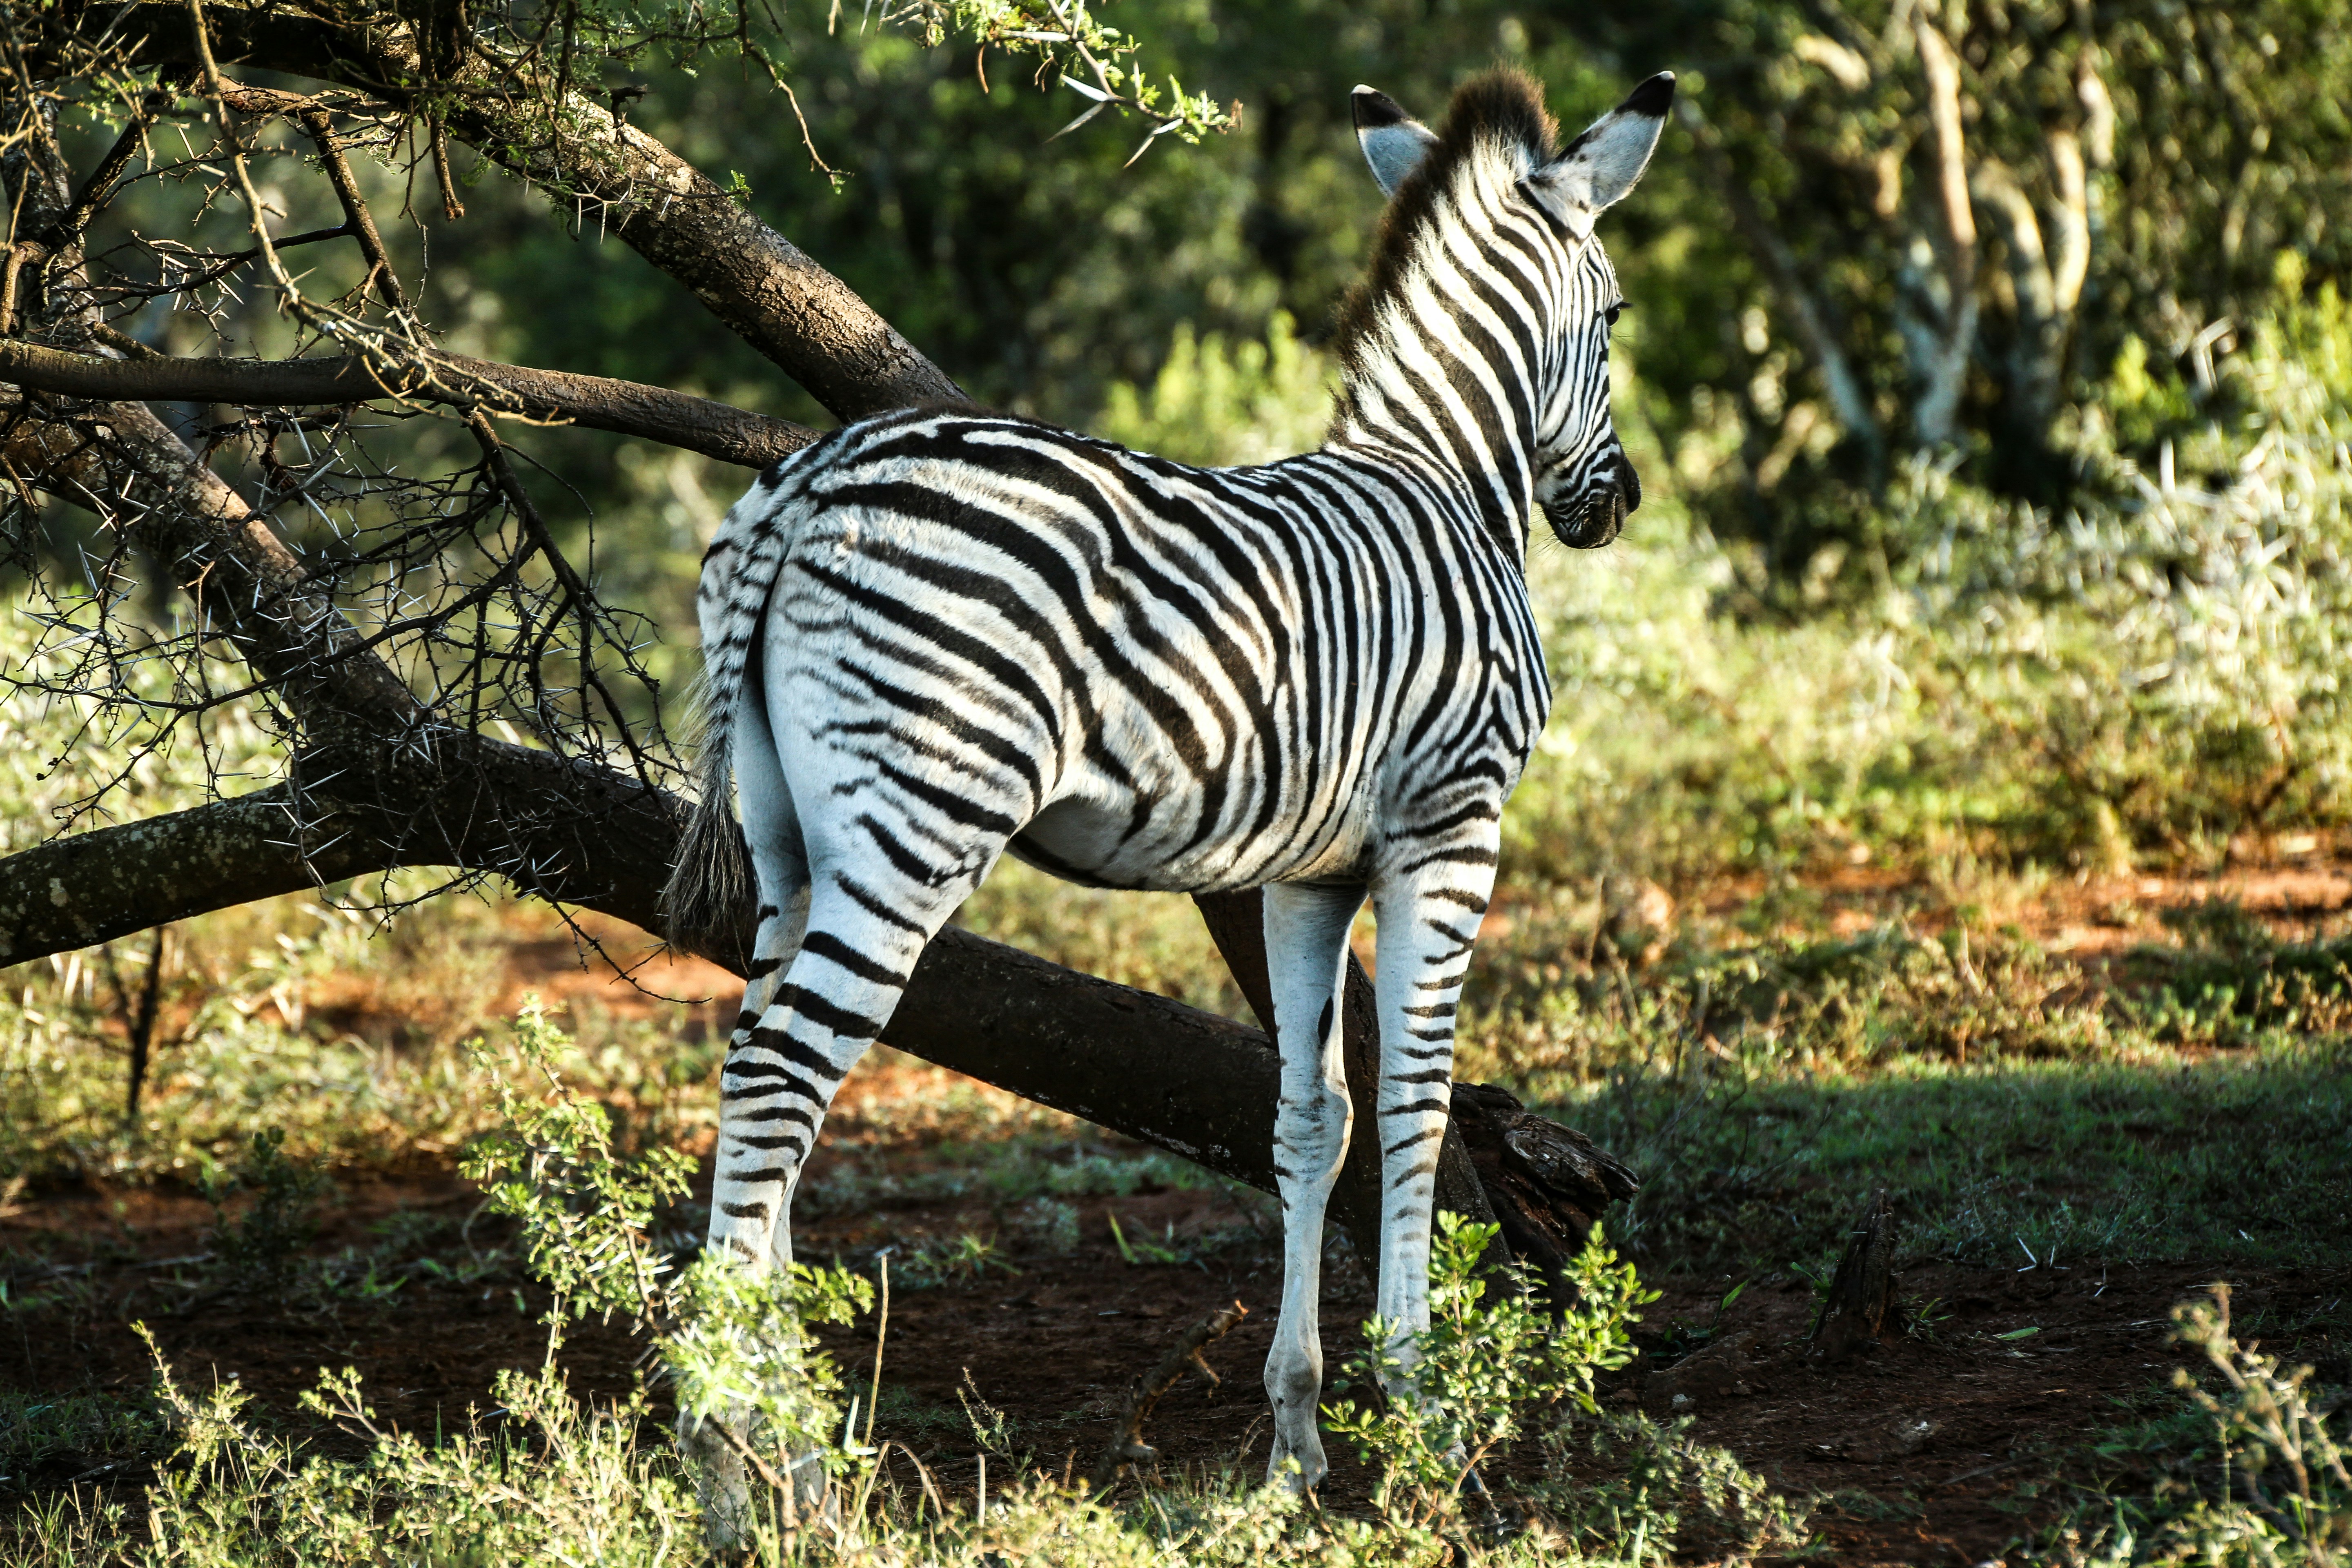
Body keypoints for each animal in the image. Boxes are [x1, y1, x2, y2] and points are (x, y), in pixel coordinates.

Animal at [663, 65, 1673, 1496]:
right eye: (1618, 312)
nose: (1620, 502)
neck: (1444, 481)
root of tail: (805, 483)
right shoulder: (1452, 827)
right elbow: (1416, 1109)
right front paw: (1426, 1418)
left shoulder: (1307, 875)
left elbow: (1314, 1117)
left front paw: (1298, 1443)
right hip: (915, 828)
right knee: (774, 1087)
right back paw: (750, 1457)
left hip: (786, 843)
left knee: (749, 1067)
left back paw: (775, 1451)